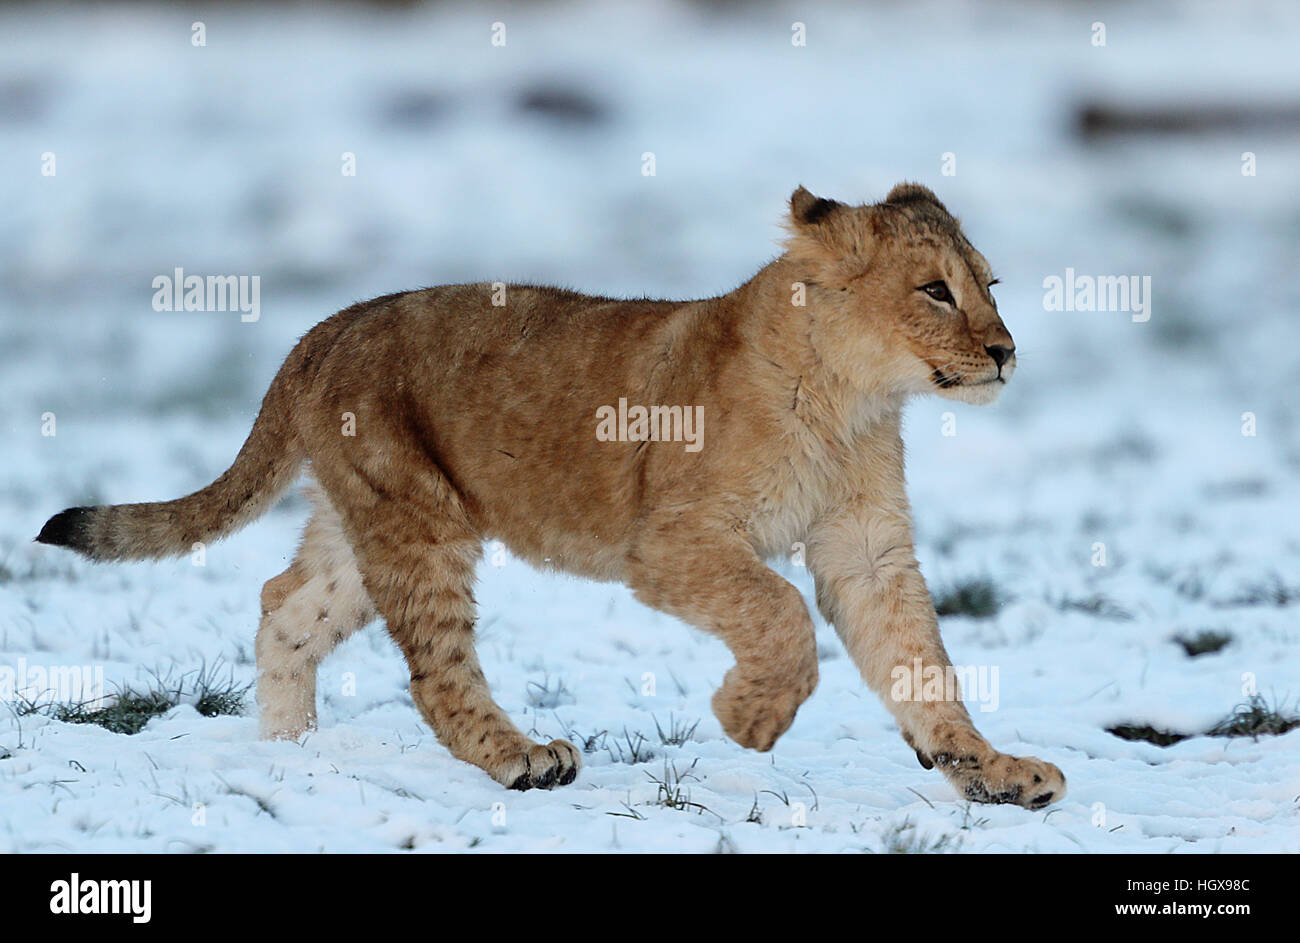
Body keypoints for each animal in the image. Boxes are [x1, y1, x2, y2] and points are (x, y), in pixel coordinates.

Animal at [37, 182, 1065, 807]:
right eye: (935, 290)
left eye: (991, 284)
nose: (1007, 350)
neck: (855, 401)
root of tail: (321, 330)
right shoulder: (673, 544)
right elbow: (779, 612)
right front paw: (751, 718)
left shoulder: (866, 548)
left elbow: (921, 663)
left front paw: (994, 772)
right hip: (422, 521)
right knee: (437, 672)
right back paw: (522, 758)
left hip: (367, 523)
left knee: (284, 604)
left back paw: (291, 755)